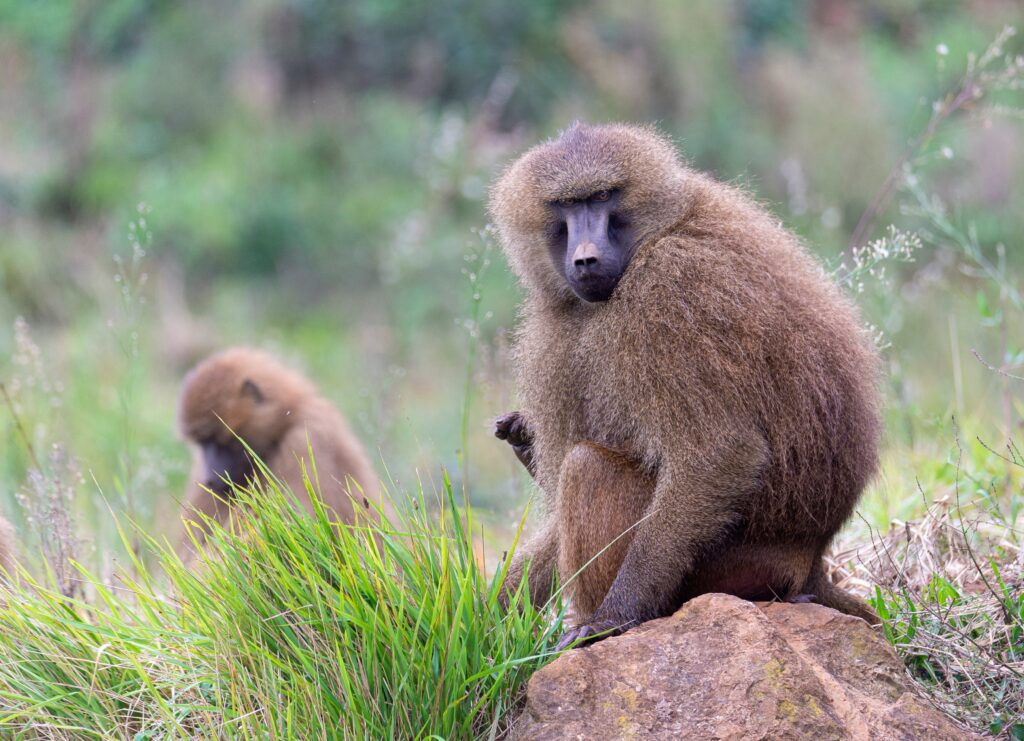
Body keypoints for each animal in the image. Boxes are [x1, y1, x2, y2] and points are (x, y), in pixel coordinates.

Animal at [177, 347, 381, 558]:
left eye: (218, 441)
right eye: (202, 443)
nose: (210, 477)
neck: (284, 424)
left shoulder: (305, 440)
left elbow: (296, 523)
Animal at [489, 122, 882, 648]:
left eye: (603, 197)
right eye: (567, 205)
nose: (586, 259)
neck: (658, 232)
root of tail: (811, 561)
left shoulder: (668, 292)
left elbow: (720, 452)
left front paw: (614, 617)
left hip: (729, 568)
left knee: (588, 467)